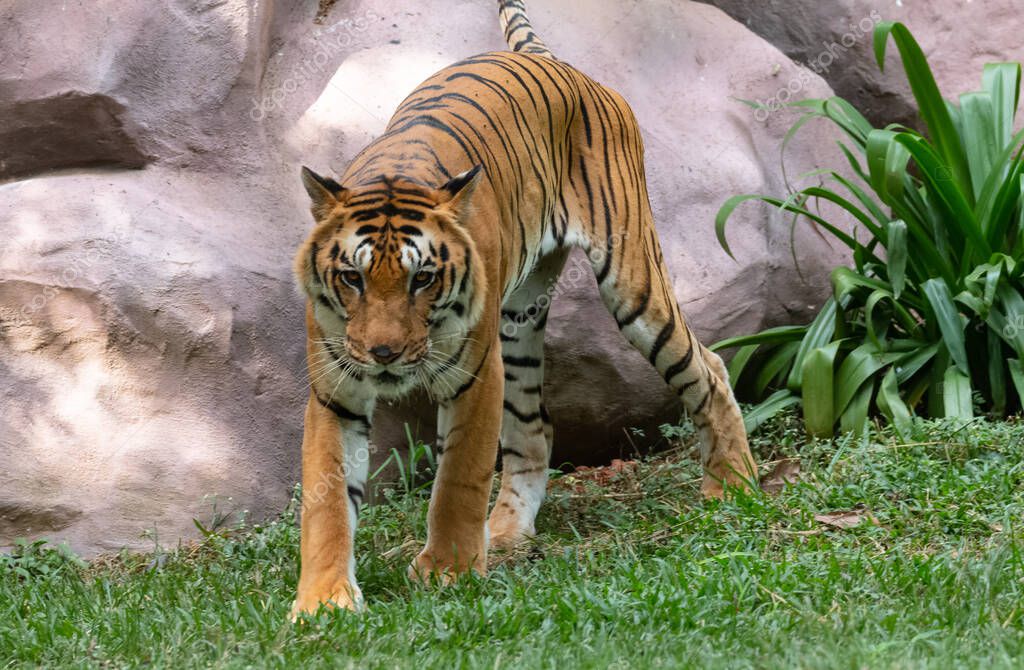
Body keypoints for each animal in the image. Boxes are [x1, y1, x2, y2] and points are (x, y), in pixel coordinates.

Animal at [290, 0, 757, 618]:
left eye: (422, 279)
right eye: (352, 278)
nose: (384, 354)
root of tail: (554, 61)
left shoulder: (474, 373)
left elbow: (459, 478)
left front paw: (448, 571)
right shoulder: (335, 387)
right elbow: (326, 498)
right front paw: (324, 601)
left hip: (632, 281)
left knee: (709, 366)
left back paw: (733, 485)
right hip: (519, 319)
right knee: (536, 425)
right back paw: (509, 532)